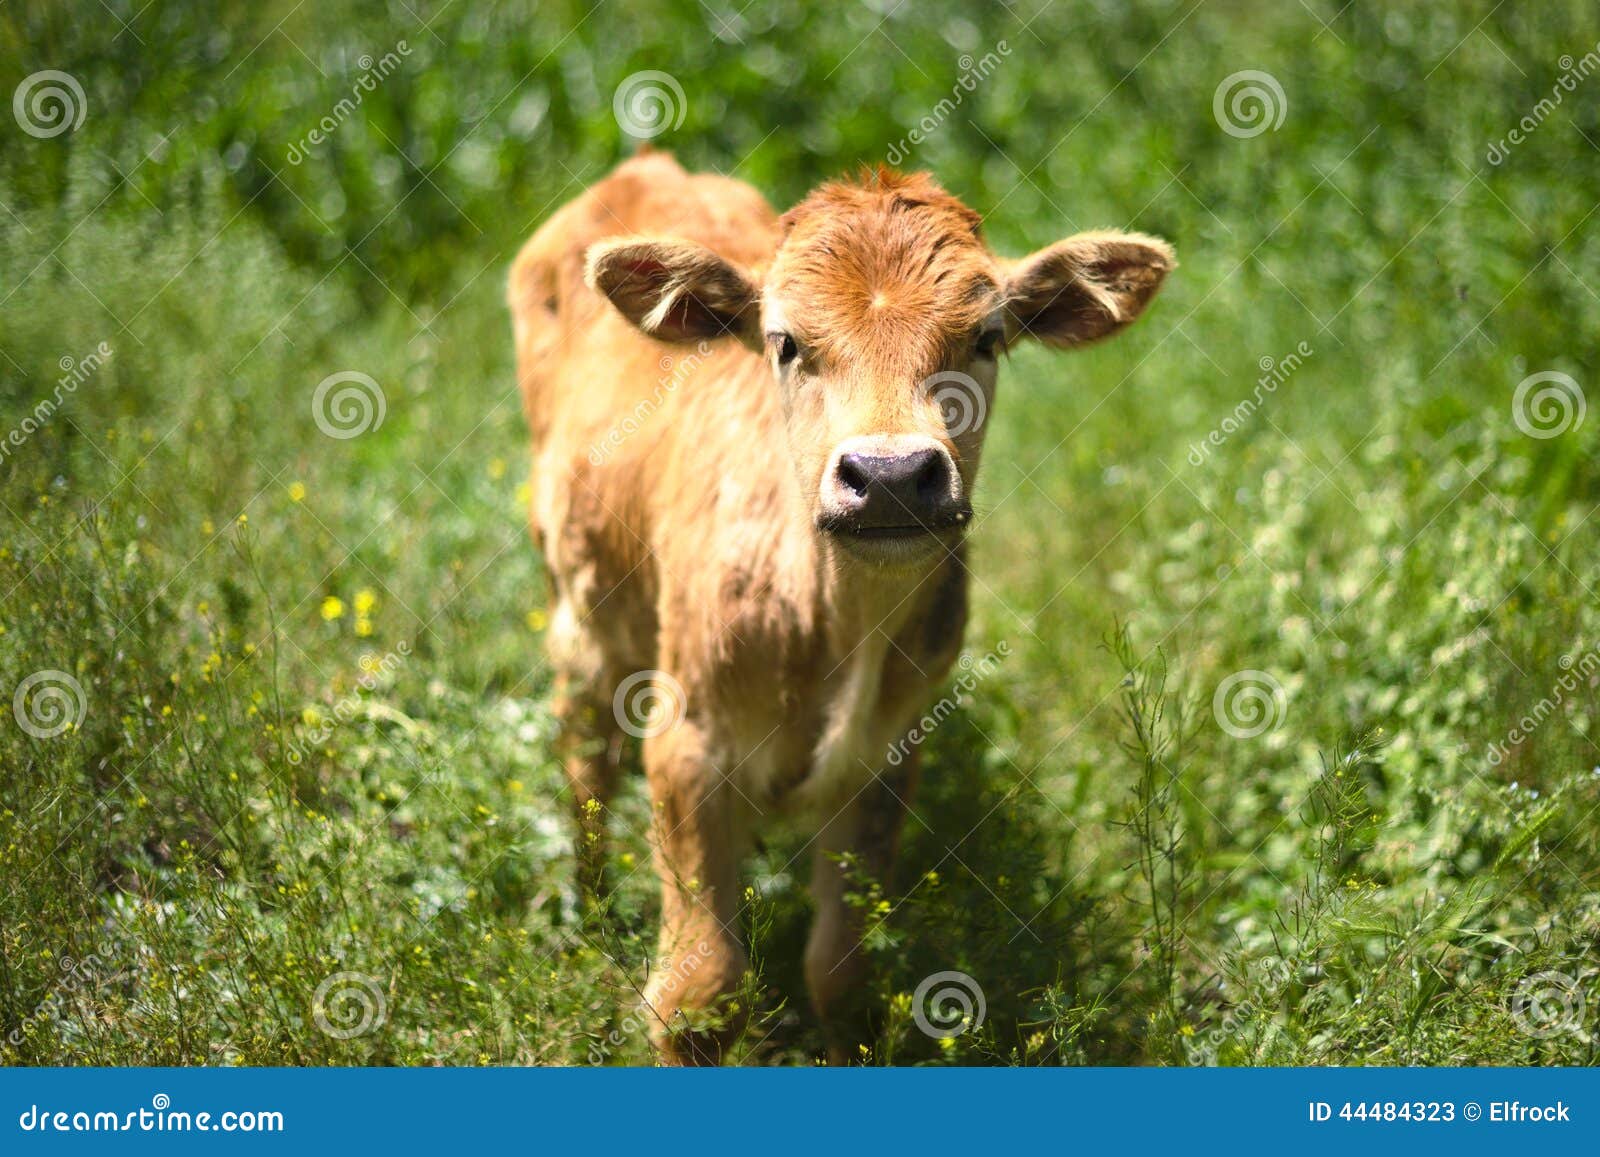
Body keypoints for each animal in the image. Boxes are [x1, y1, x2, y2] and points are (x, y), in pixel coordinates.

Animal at [508, 149, 1173, 1064]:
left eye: (986, 336)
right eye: (786, 343)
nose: (890, 475)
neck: (832, 623)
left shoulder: (889, 747)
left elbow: (839, 968)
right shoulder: (687, 733)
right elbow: (699, 989)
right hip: (576, 609)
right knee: (584, 758)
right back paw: (589, 901)